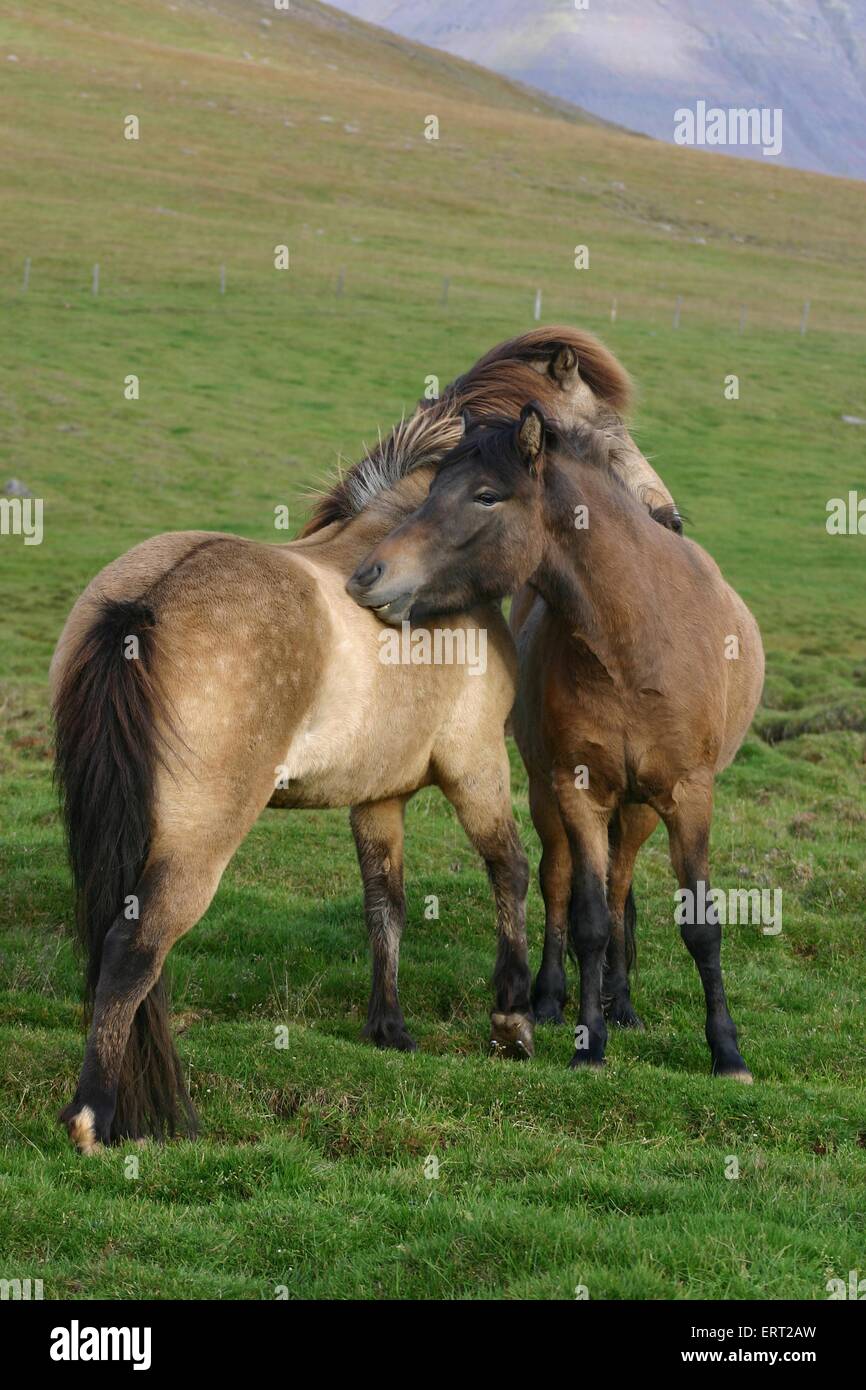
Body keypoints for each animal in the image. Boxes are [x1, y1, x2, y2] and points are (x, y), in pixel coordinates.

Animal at [346, 406, 765, 1081]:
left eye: (485, 496)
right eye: (431, 490)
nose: (367, 575)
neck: (636, 641)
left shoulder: (689, 795)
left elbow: (699, 925)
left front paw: (726, 1052)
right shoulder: (578, 790)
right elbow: (586, 918)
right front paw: (588, 1044)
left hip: (642, 808)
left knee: (620, 885)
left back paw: (623, 1003)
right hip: (551, 796)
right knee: (561, 882)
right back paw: (547, 999)